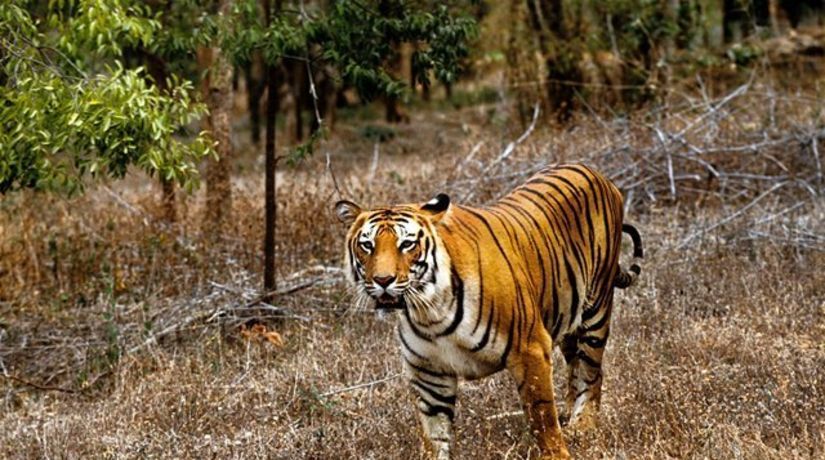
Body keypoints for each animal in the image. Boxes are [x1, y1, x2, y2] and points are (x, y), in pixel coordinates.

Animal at [334, 164, 643, 459]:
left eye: (407, 244)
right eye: (367, 245)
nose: (383, 280)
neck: (430, 311)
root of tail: (599, 175)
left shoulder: (530, 349)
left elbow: (542, 417)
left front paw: (557, 453)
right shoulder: (429, 373)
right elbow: (435, 435)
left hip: (596, 310)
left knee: (591, 371)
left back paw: (583, 427)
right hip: (568, 318)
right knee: (576, 369)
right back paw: (571, 418)